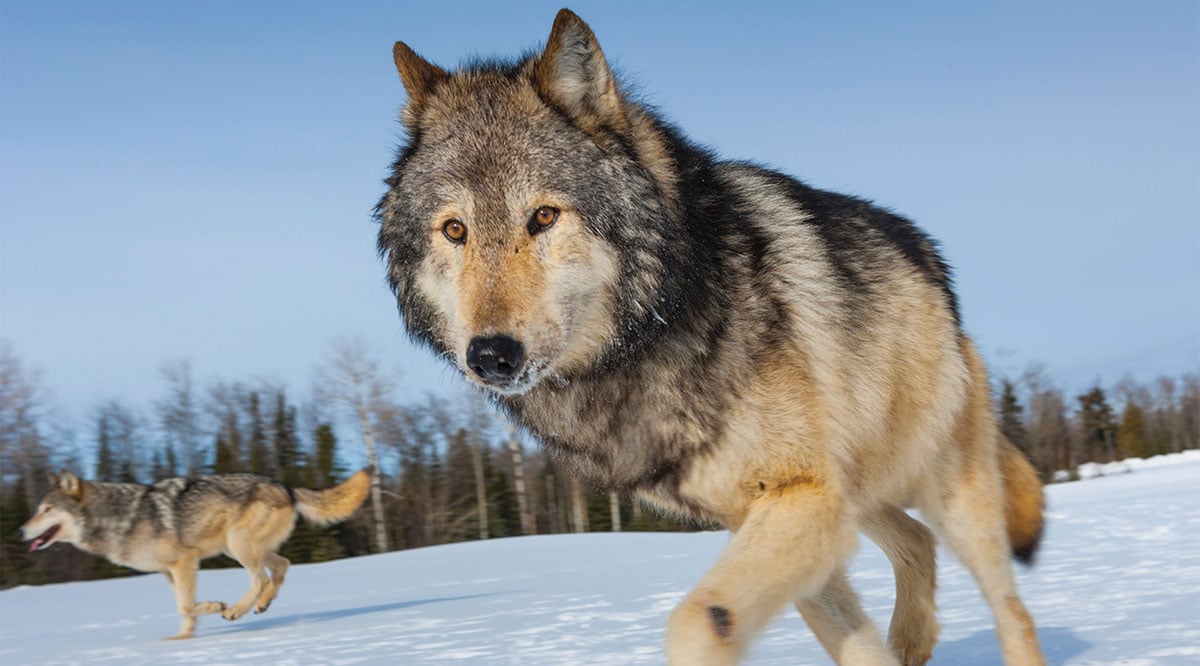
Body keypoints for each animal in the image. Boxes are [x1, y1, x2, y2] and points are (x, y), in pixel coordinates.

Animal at [20, 467, 372, 639]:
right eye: (38, 509)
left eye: (47, 510)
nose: (22, 530)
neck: (117, 518)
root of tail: (285, 486)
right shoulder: (168, 571)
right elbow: (183, 608)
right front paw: (181, 640)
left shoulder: (184, 562)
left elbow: (186, 605)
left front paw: (215, 609)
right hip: (244, 548)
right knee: (281, 566)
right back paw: (261, 605)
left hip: (239, 547)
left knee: (260, 578)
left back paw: (237, 611)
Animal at [376, 9, 1046, 665]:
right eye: (454, 230)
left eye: (543, 217)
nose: (491, 355)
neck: (657, 330)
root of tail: (934, 264)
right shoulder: (775, 510)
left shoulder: (803, 495)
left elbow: (699, 621)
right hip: (863, 492)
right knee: (917, 540)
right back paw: (913, 638)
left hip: (948, 494)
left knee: (1010, 607)